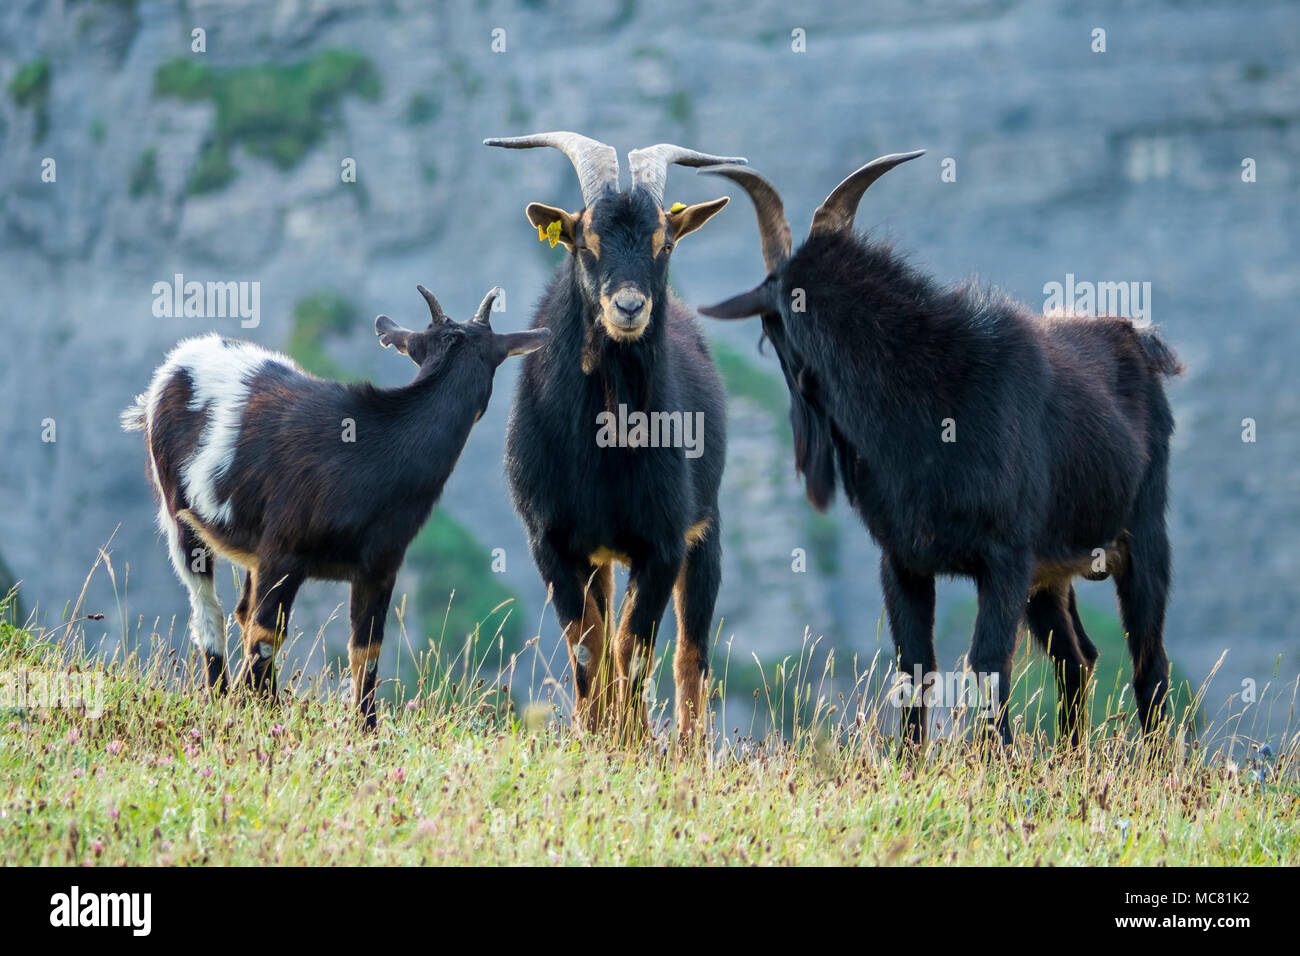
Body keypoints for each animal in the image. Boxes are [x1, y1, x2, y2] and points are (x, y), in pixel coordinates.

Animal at [121, 285, 549, 728]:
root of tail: (177, 362)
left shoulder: (379, 566)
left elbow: (366, 649)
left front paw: (365, 728)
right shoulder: (284, 552)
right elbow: (267, 635)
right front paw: (255, 715)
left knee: (242, 611)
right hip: (179, 514)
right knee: (209, 608)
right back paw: (221, 696)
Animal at [484, 131, 740, 739]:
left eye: (664, 243)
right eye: (585, 240)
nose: (628, 307)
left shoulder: (664, 543)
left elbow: (632, 647)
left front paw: (630, 739)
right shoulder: (552, 542)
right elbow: (589, 645)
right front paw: (595, 734)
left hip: (706, 531)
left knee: (690, 654)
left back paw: (685, 747)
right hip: (600, 556)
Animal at [698, 155, 1183, 747]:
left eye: (772, 327)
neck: (927, 392)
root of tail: (1140, 339)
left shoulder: (1005, 556)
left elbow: (988, 663)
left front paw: (998, 758)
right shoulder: (903, 559)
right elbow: (914, 667)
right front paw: (910, 759)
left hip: (1142, 538)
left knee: (1148, 663)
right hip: (1051, 576)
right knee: (1077, 658)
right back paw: (1070, 758)